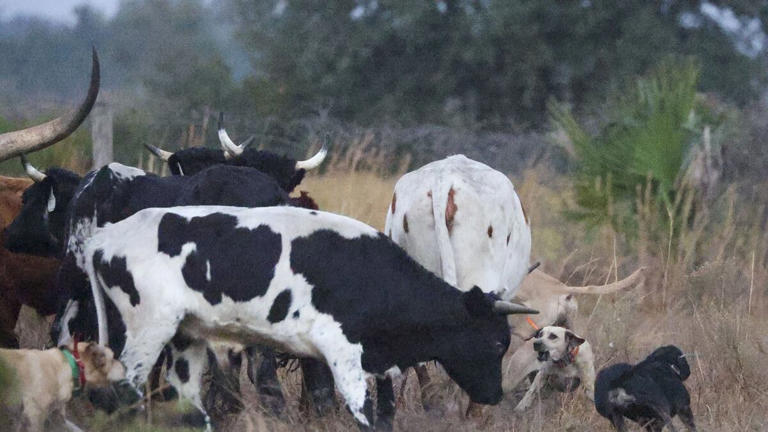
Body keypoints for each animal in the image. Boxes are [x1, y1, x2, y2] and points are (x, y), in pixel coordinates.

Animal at [82, 205, 538, 429]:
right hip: (147, 329)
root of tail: (105, 237)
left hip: (185, 337)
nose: (495, 396)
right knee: (125, 390)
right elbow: (362, 412)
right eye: (497, 341)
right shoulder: (342, 349)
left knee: (188, 404)